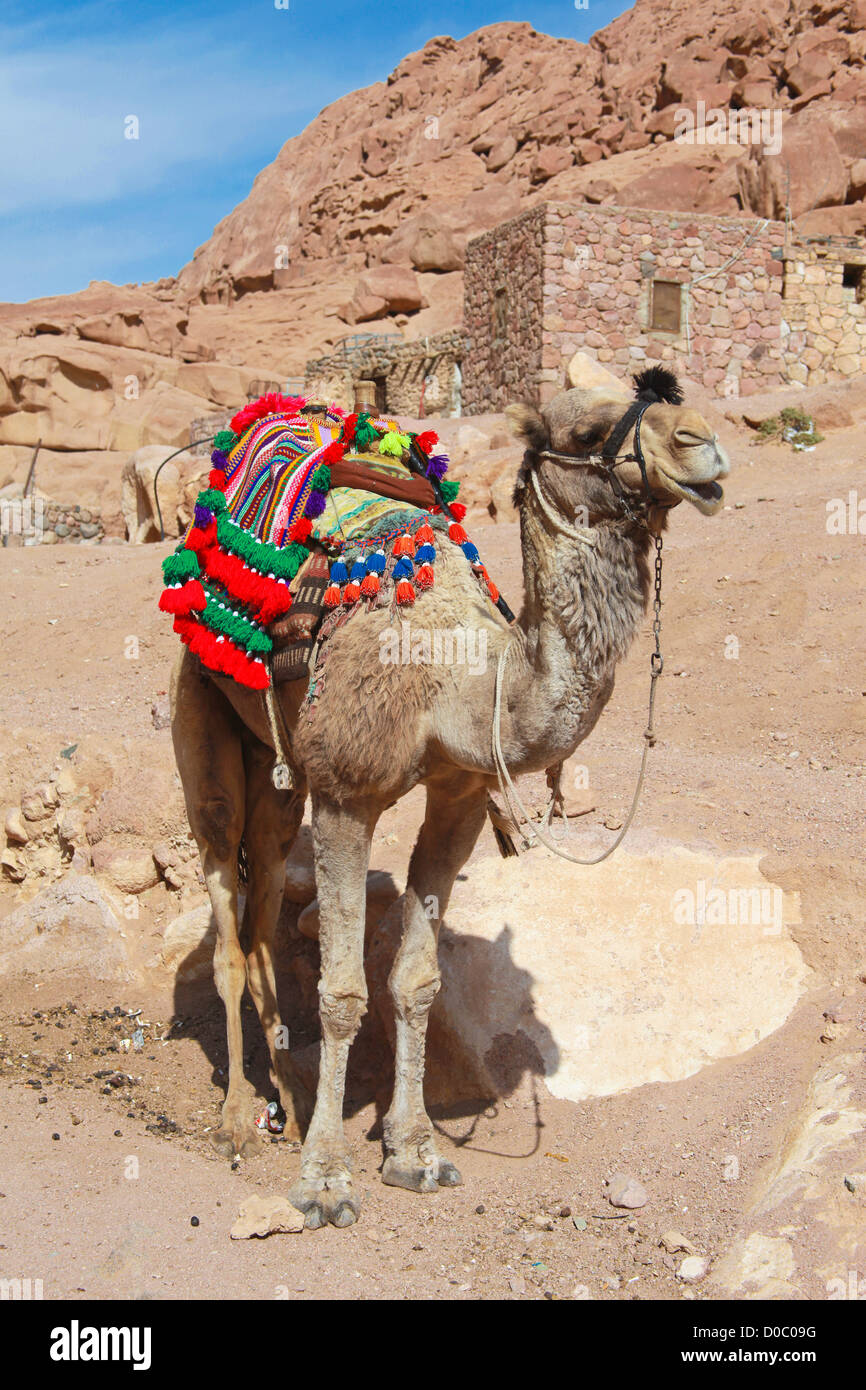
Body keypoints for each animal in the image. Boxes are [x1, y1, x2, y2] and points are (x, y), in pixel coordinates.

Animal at [169, 368, 729, 1228]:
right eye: (584, 431)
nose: (702, 444)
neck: (459, 682)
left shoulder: (461, 798)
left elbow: (416, 982)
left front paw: (415, 1153)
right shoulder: (347, 793)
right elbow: (342, 990)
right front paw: (326, 1180)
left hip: (278, 764)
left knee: (262, 897)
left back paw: (288, 1099)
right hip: (200, 709)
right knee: (226, 906)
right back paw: (238, 1119)